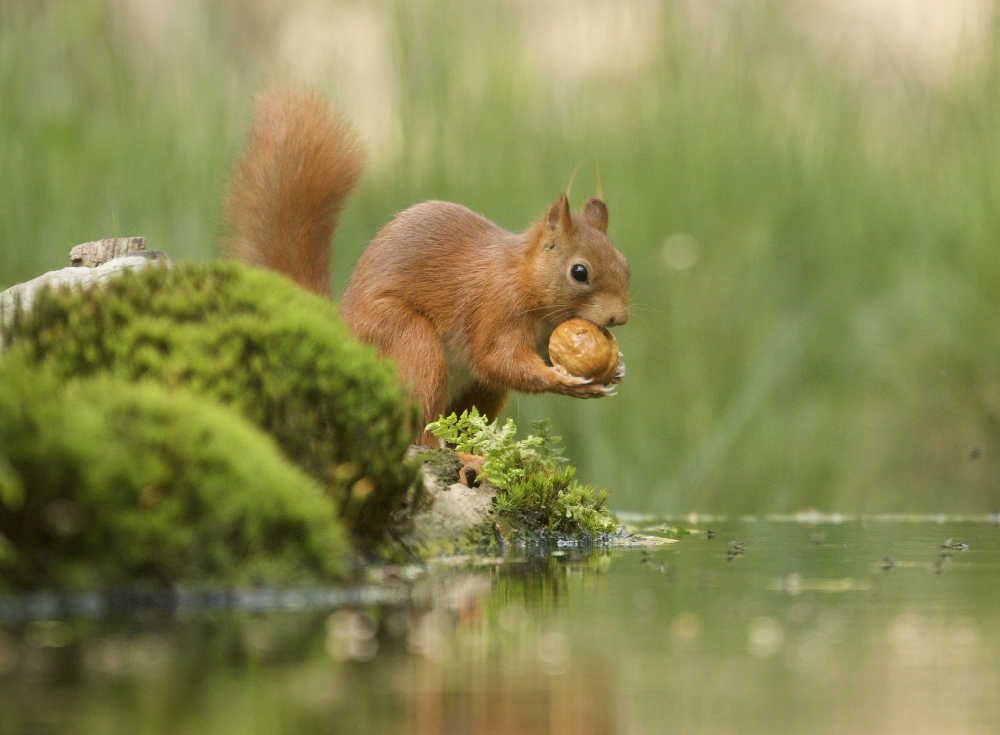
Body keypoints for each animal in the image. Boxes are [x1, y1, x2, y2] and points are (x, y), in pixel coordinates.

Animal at [224, 86, 628, 442]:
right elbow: (498, 360)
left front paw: (617, 367)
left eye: (625, 265)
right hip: (409, 341)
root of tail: (347, 341)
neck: (525, 279)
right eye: (579, 272)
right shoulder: (496, 309)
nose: (619, 318)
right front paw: (566, 382)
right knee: (421, 423)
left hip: (480, 392)